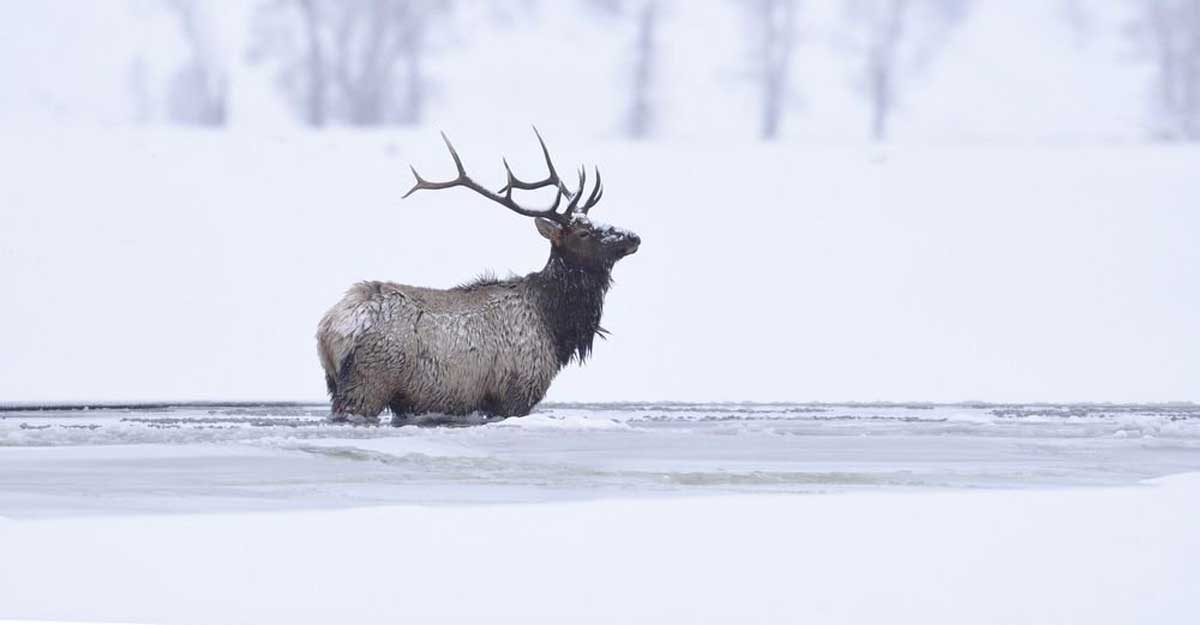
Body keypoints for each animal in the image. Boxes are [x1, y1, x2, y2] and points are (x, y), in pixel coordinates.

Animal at [316, 130, 641, 425]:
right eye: (584, 232)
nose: (633, 237)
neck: (555, 326)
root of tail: (330, 329)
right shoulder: (517, 389)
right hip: (369, 381)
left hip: (339, 383)